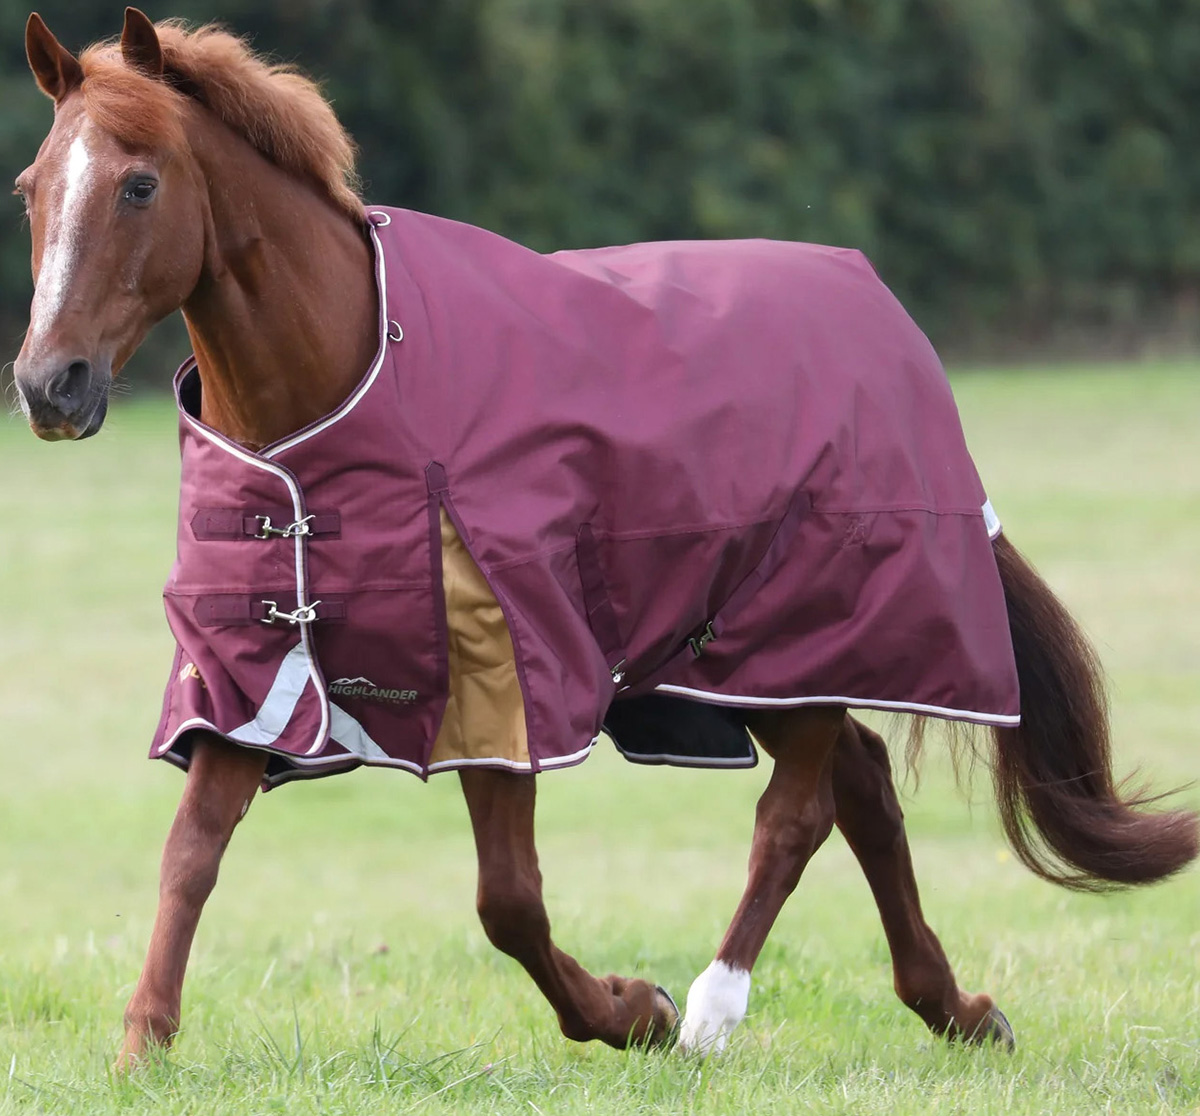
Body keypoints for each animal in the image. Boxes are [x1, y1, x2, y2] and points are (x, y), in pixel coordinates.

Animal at [12, 10, 1196, 1071]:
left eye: (140, 184)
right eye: (31, 189)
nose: (48, 385)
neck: (343, 391)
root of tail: (888, 319)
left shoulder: (502, 669)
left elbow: (508, 904)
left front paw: (636, 1011)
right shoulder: (251, 669)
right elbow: (190, 854)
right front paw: (143, 1045)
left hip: (804, 623)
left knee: (799, 811)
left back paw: (718, 1009)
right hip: (754, 662)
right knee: (859, 783)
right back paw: (955, 1010)